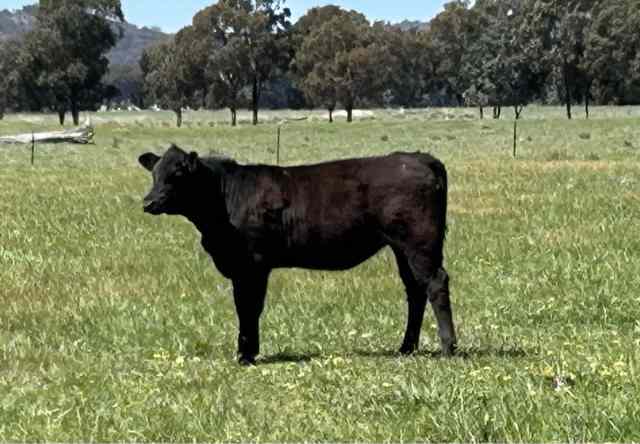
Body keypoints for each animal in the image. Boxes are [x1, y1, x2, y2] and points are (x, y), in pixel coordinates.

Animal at [139, 144, 456, 365]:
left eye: (177, 174)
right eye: (154, 174)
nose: (148, 202)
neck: (225, 197)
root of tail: (418, 157)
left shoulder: (251, 265)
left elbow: (248, 307)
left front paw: (245, 355)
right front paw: (248, 351)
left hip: (419, 243)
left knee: (435, 283)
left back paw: (448, 347)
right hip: (402, 248)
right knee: (415, 290)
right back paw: (406, 348)